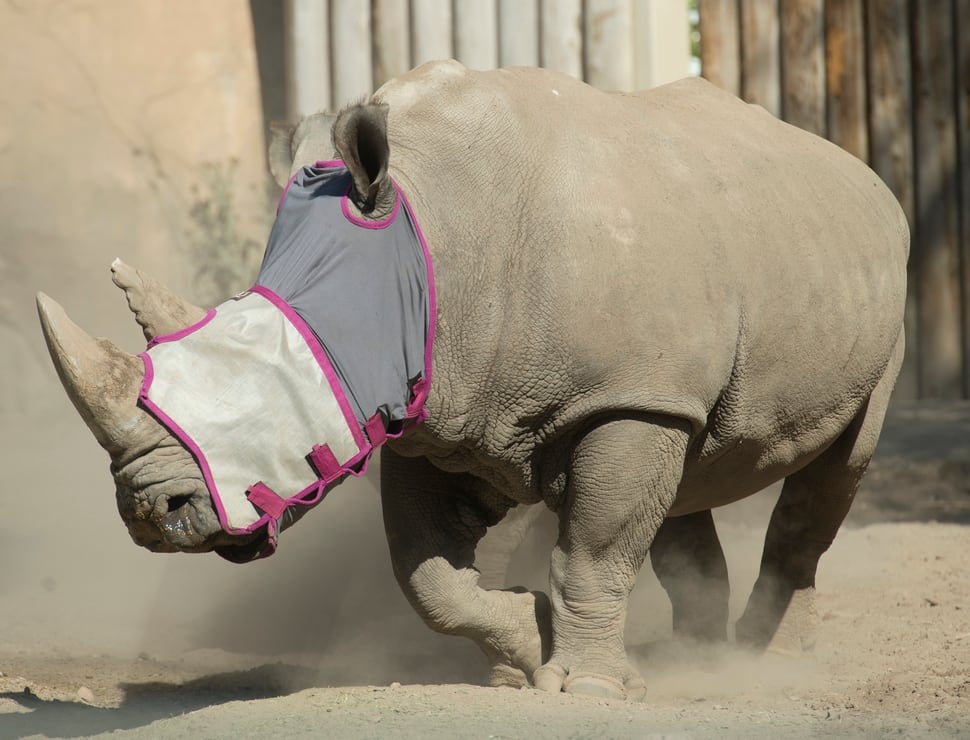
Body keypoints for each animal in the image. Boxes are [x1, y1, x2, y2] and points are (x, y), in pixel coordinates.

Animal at [37, 61, 908, 700]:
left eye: (270, 406)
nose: (149, 514)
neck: (432, 249)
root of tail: (853, 167)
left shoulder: (626, 395)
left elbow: (593, 546)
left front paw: (586, 689)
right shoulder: (433, 421)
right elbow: (425, 573)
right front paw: (525, 651)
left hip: (868, 294)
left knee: (835, 471)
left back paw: (762, 661)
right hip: (749, 286)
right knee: (686, 483)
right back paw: (691, 659)